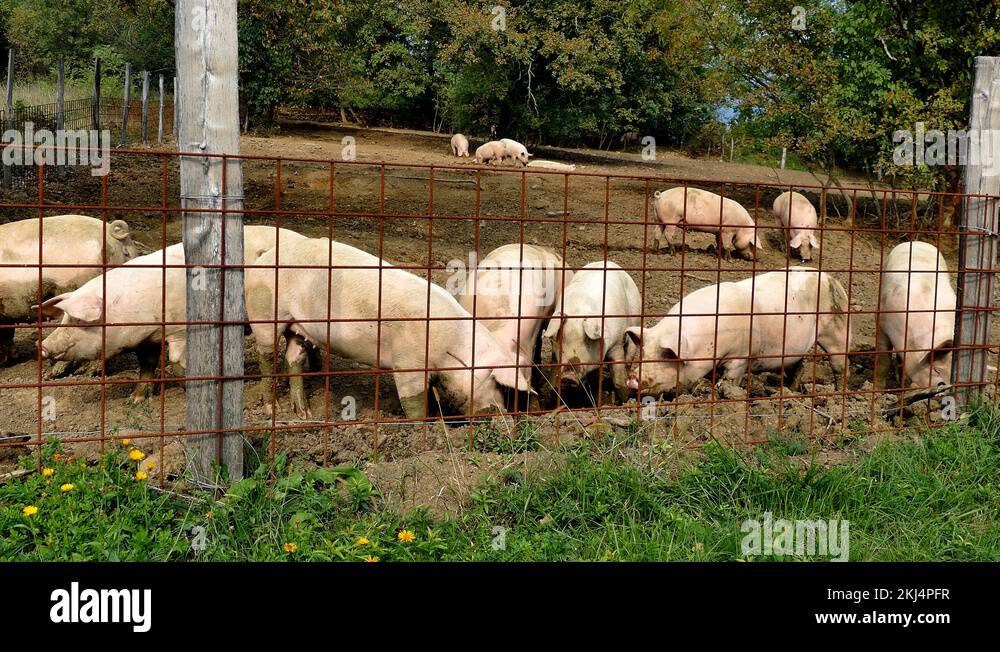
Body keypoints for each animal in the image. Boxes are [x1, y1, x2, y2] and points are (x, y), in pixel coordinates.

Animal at [35, 225, 307, 402]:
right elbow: (147, 364)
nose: (43, 346)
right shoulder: (146, 337)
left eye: (77, 320)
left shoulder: (180, 329)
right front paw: (135, 399)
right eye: (65, 318)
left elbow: (175, 361)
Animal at [245, 238, 532, 419]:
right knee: (266, 355)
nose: (499, 413)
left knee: (294, 357)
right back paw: (272, 409)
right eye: (496, 382)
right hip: (264, 312)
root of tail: (263, 258)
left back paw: (303, 413)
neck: (454, 347)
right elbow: (413, 401)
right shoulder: (408, 362)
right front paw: (426, 425)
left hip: (299, 325)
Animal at [541, 261, 641, 402]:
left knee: (628, 358)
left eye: (588, 339)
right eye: (562, 337)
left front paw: (623, 399)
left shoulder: (616, 342)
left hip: (636, 319)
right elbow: (554, 372)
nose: (568, 376)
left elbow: (618, 376)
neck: (578, 311)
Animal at [625, 267, 851, 396]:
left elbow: (730, 379)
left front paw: (723, 394)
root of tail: (831, 278)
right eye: (644, 353)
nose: (633, 376)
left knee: (840, 363)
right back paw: (789, 390)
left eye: (668, 355)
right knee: (797, 366)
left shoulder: (740, 356)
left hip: (837, 329)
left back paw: (839, 391)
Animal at [875, 241, 956, 390]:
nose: (945, 387)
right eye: (936, 370)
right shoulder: (882, 321)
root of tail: (916, 242)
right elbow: (883, 358)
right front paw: (877, 389)